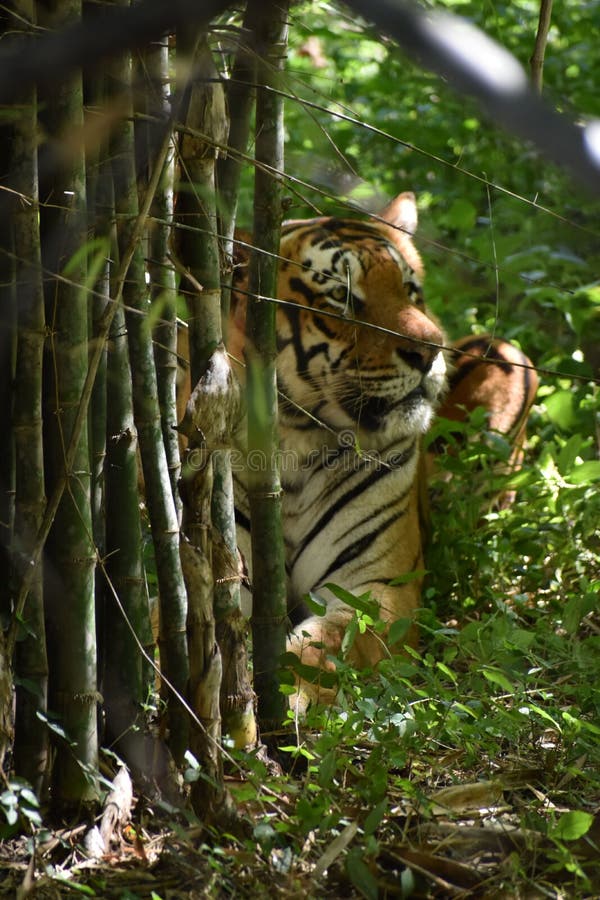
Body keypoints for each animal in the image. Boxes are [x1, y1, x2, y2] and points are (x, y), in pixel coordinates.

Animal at [180, 191, 538, 709]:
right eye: (342, 297)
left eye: (410, 289)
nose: (432, 349)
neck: (294, 447)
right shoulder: (229, 578)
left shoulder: (377, 587)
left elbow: (322, 645)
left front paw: (276, 696)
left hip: (506, 355)